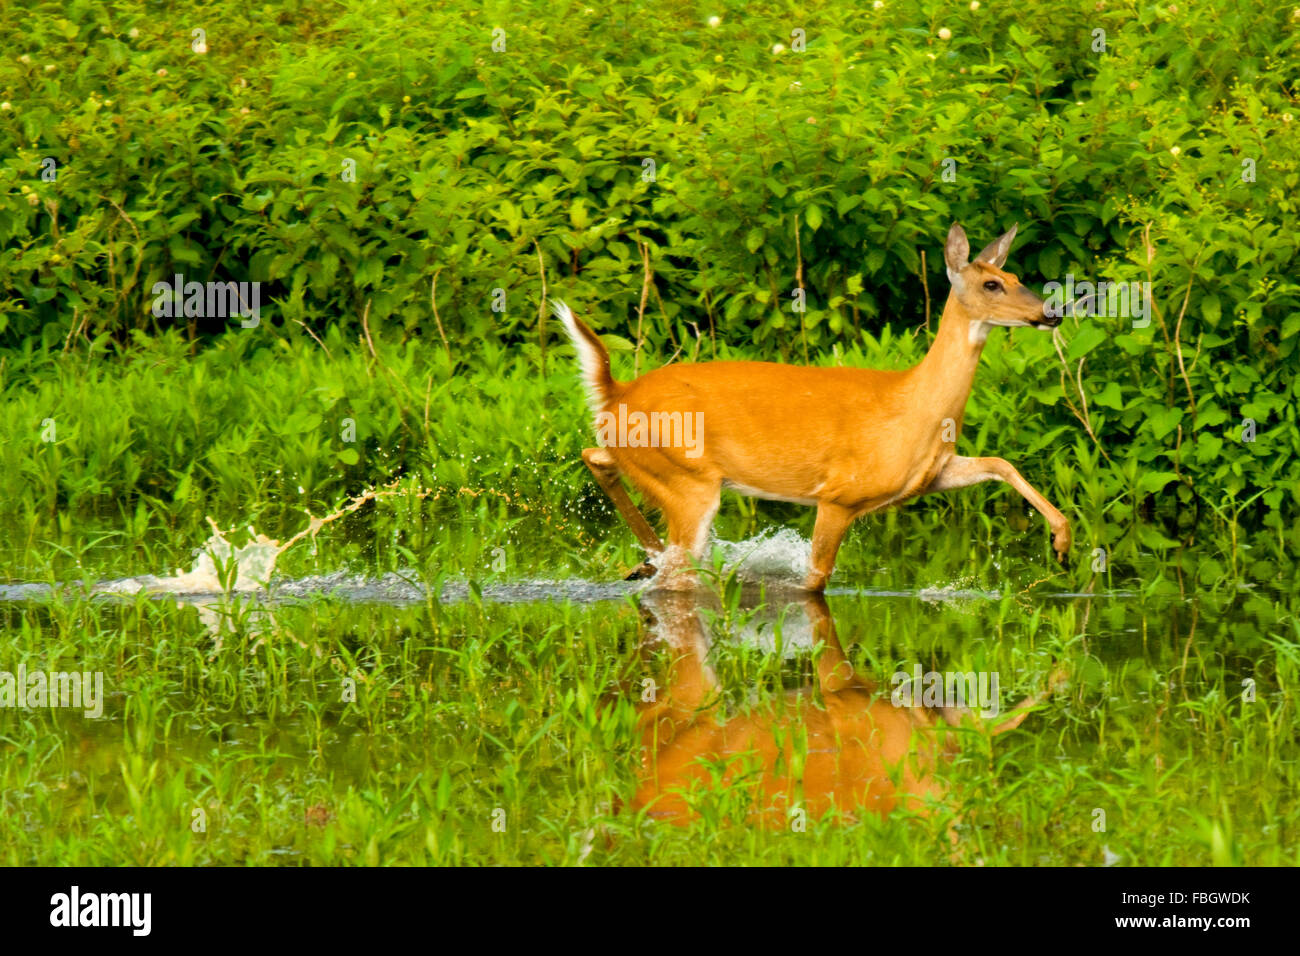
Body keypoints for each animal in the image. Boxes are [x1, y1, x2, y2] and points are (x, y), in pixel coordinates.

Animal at [555, 223, 1070, 591]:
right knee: (679, 570)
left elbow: (1000, 462)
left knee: (595, 457)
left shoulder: (930, 474)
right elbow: (815, 580)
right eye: (991, 285)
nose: (1051, 313)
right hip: (688, 480)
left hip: (652, 463)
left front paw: (1062, 541)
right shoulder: (840, 494)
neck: (913, 405)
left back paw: (645, 558)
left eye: (1016, 277)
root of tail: (615, 390)